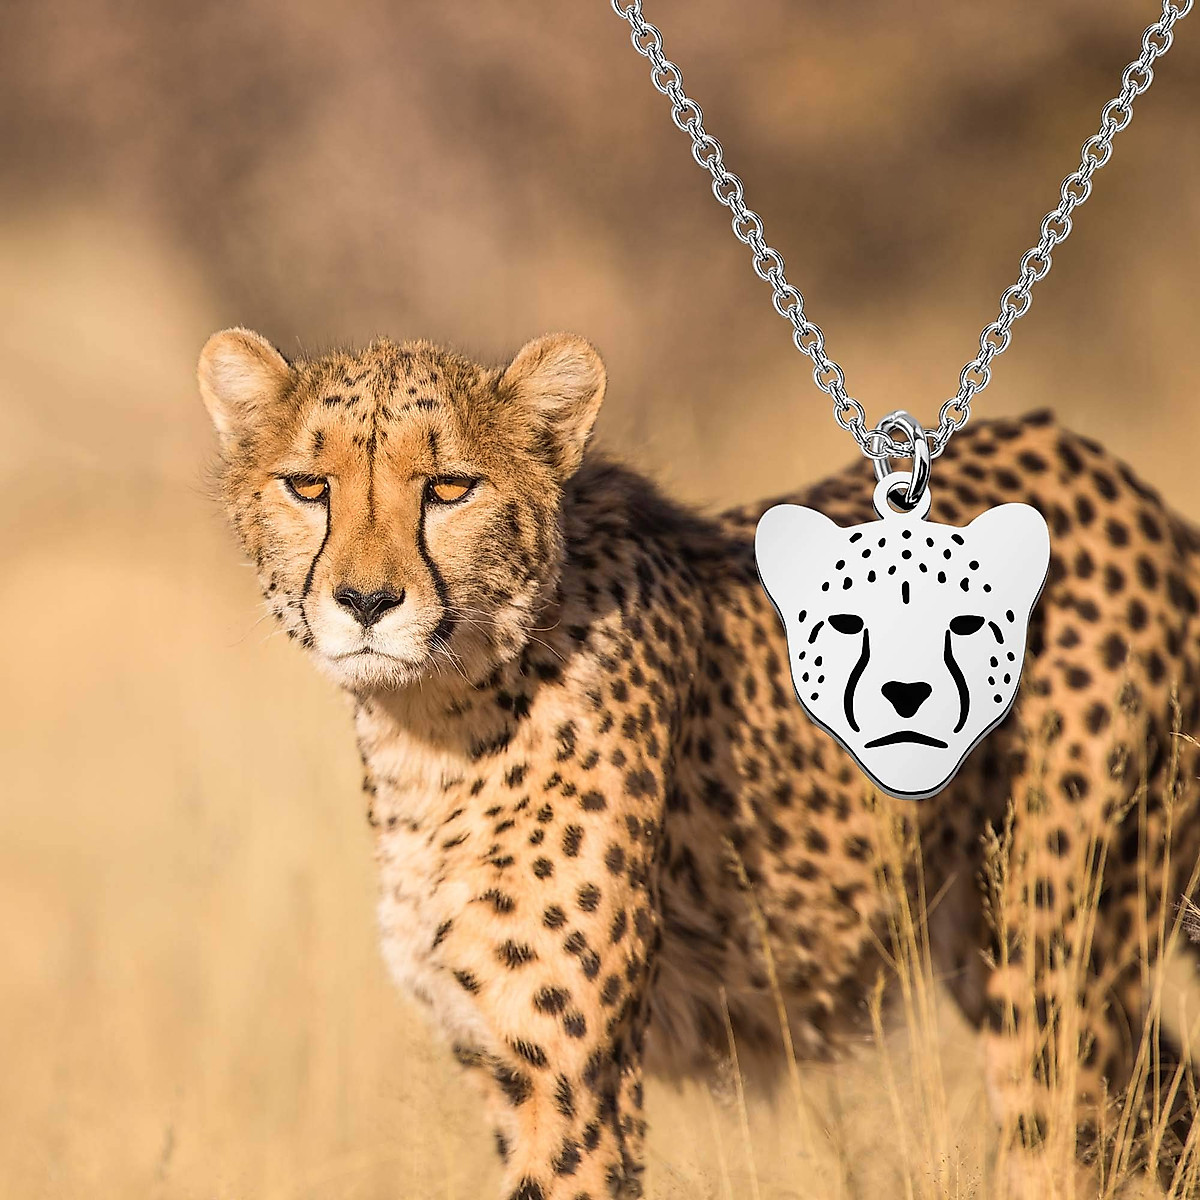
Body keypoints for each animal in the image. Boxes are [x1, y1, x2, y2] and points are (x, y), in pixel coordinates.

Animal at [199, 326, 1200, 1199]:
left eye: (449, 488)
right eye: (307, 485)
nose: (366, 602)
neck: (434, 721)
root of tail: (1115, 476)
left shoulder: (571, 1078)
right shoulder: (498, 1059)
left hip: (1053, 966)